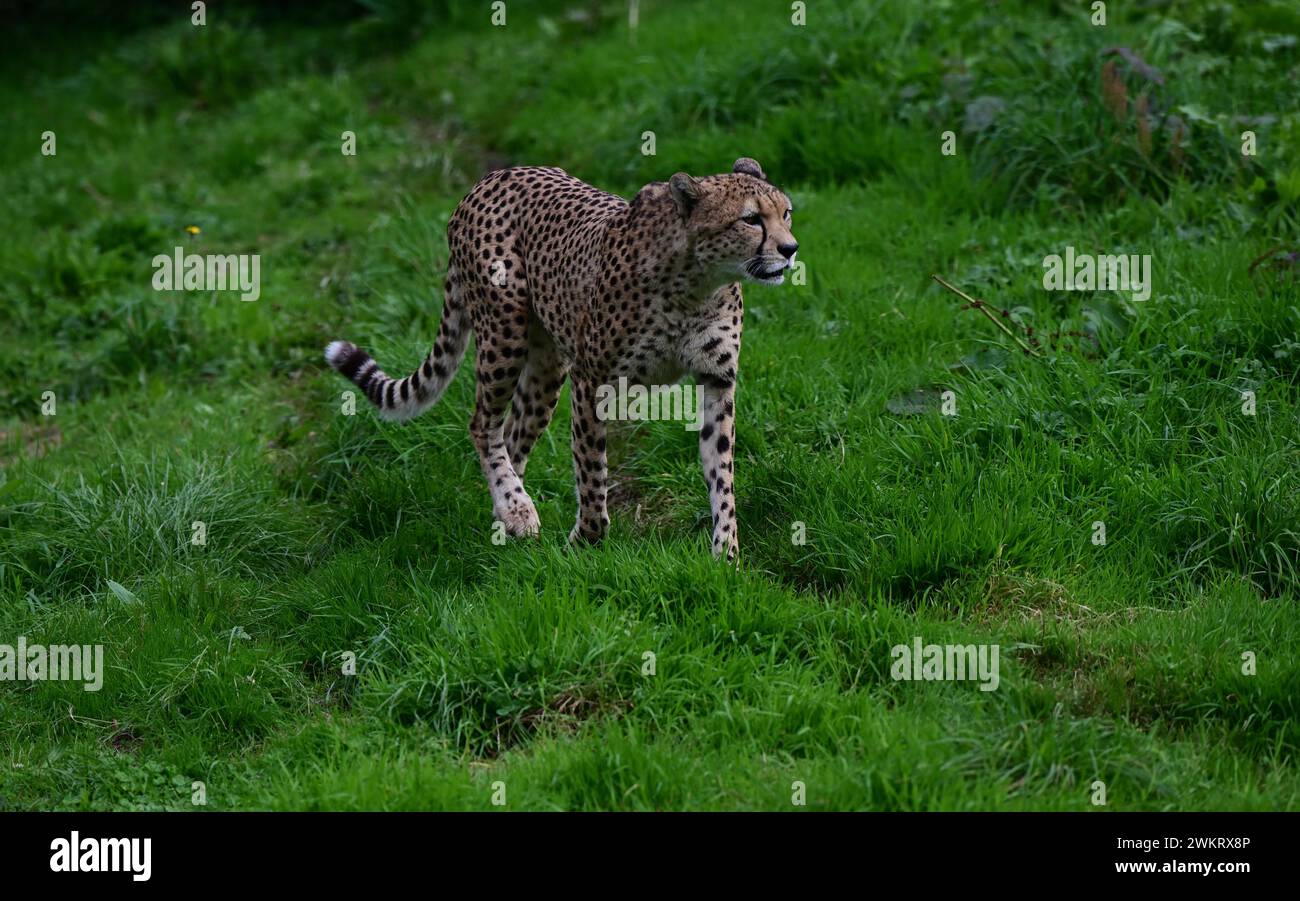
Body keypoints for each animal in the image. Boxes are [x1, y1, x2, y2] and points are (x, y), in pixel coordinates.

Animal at [324, 157, 798, 560]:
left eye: (786, 213)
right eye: (751, 219)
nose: (790, 249)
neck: (698, 284)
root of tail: (495, 177)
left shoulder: (717, 380)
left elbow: (722, 472)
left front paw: (726, 556)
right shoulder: (592, 380)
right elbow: (591, 470)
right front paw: (585, 541)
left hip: (547, 365)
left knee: (512, 434)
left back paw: (507, 516)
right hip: (504, 329)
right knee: (482, 424)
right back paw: (518, 509)